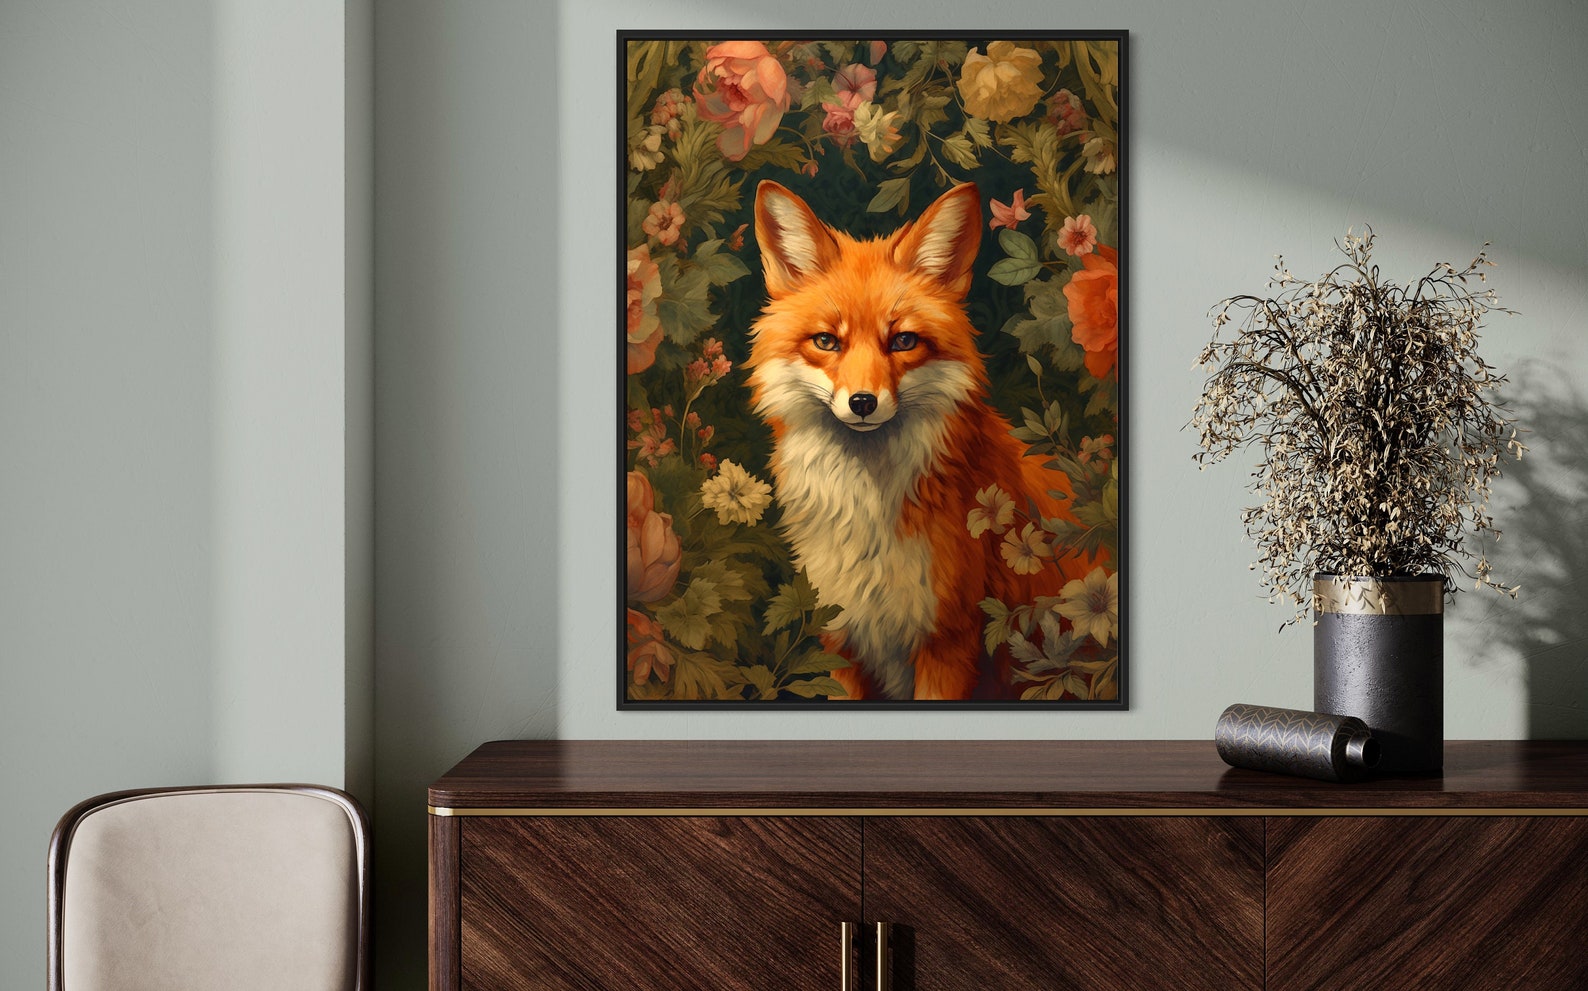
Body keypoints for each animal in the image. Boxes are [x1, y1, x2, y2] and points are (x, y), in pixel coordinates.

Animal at [747, 179, 1095, 701]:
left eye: (903, 341)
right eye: (827, 342)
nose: (863, 403)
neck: (868, 517)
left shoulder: (947, 644)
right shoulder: (841, 641)